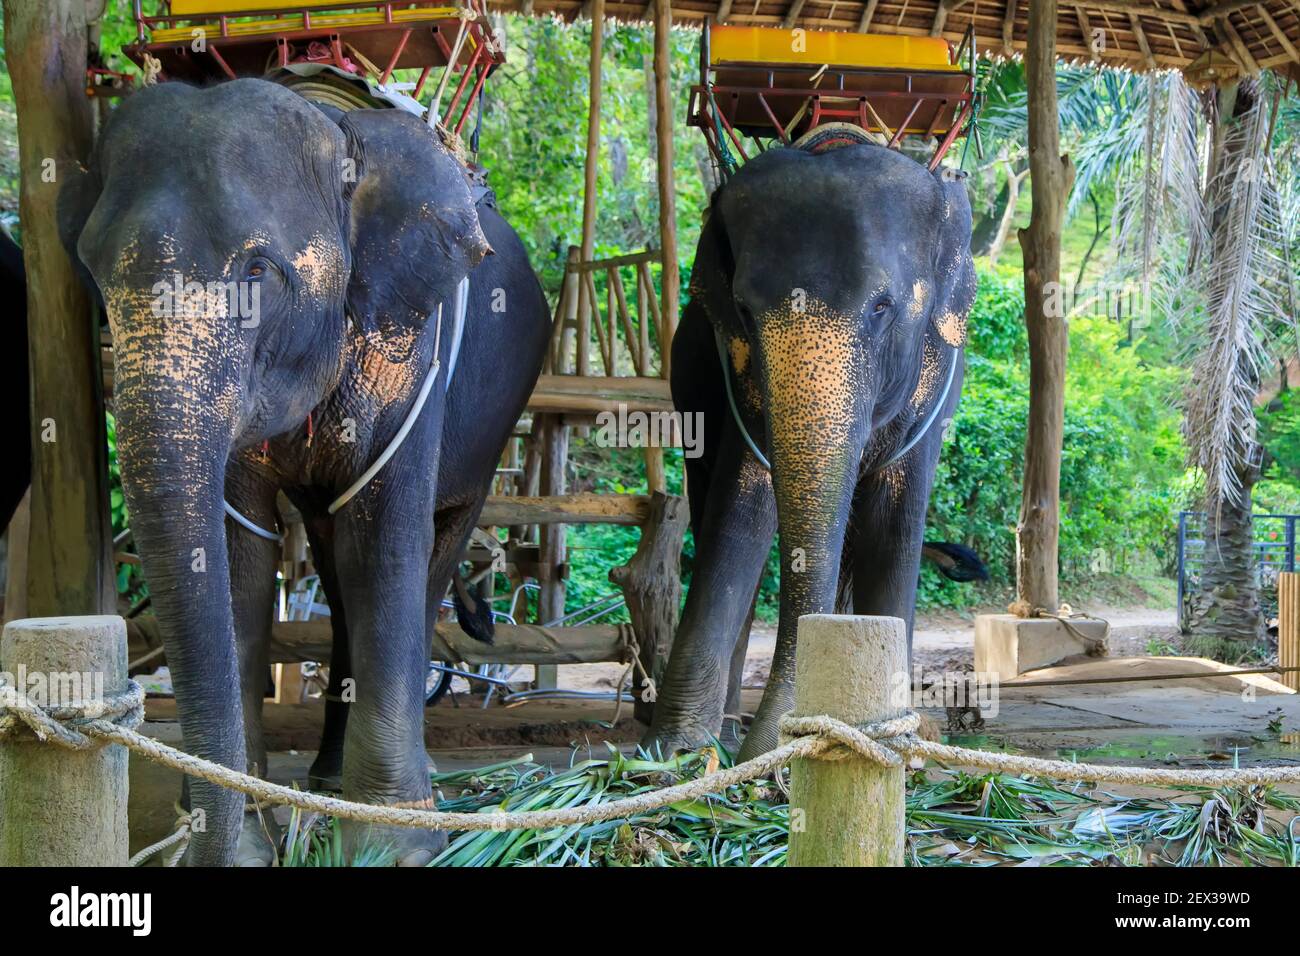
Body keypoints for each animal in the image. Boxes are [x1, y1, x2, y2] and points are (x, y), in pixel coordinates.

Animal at [60, 78, 549, 865]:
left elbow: (385, 542)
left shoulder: (411, 347)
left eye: (259, 271)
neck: (338, 130)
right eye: (96, 272)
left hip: (495, 428)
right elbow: (239, 555)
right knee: (335, 568)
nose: (202, 839)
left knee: (427, 555)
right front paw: (244, 835)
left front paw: (392, 843)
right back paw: (321, 780)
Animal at [645, 140, 977, 761]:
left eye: (882, 306)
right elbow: (740, 513)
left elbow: (895, 524)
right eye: (743, 310)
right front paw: (676, 753)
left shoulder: (935, 381)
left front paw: (902, 740)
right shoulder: (736, 377)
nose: (784, 739)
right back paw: (724, 736)